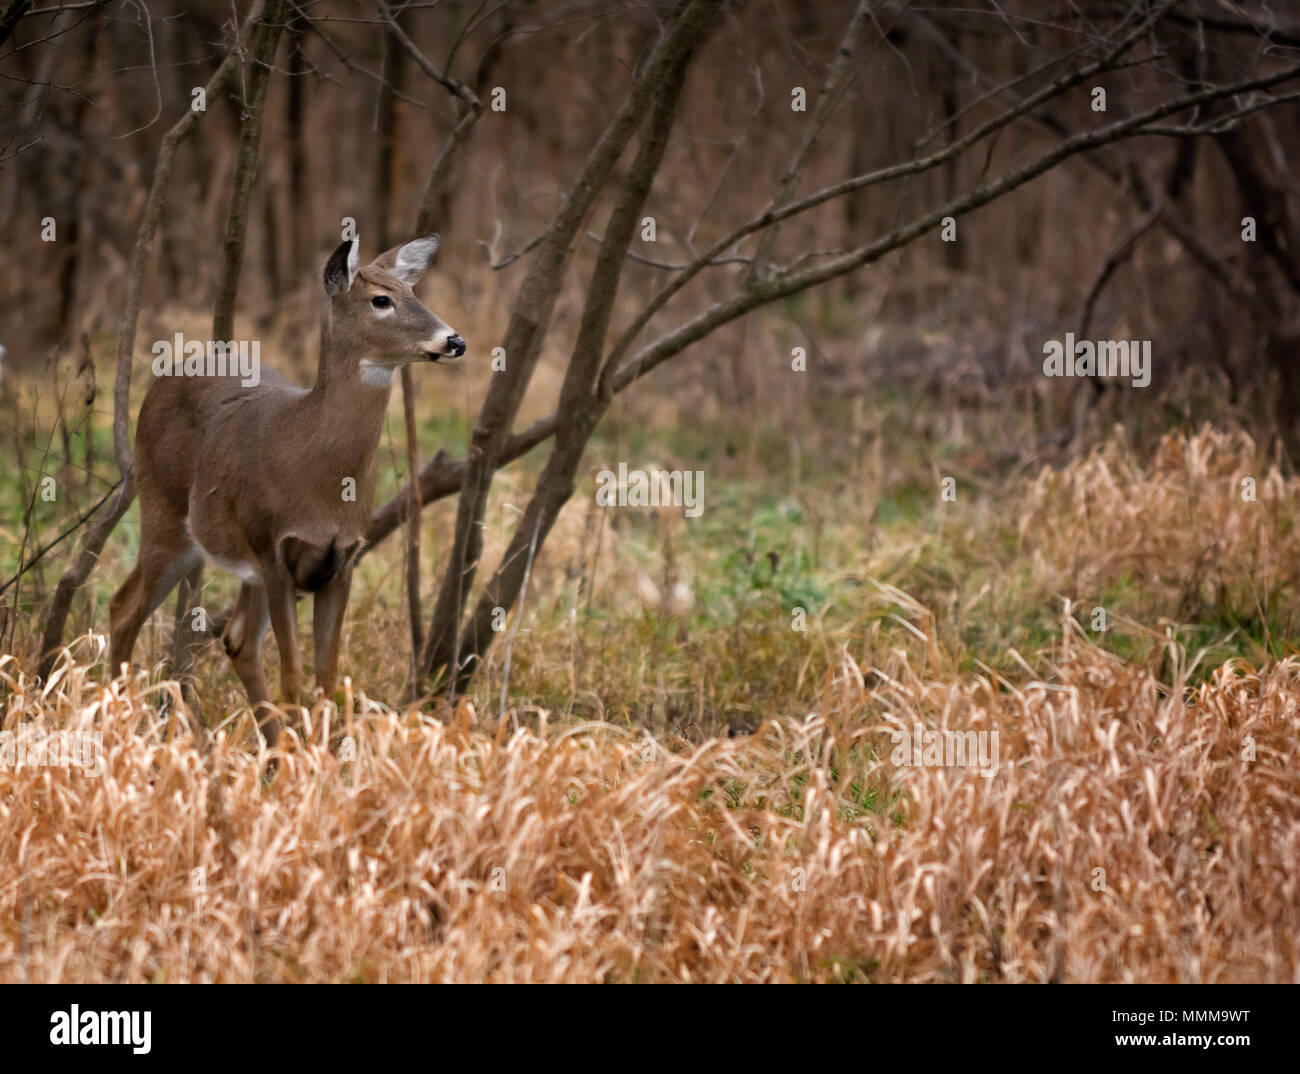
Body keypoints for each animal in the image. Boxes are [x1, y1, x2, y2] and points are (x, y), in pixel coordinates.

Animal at [108, 235, 465, 747]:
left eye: (413, 291)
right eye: (381, 299)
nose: (454, 341)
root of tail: (164, 377)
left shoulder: (343, 558)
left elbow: (327, 677)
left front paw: (324, 755)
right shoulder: (273, 549)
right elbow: (294, 676)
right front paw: (306, 758)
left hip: (234, 559)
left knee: (237, 640)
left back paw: (271, 748)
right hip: (164, 513)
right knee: (123, 609)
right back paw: (120, 727)